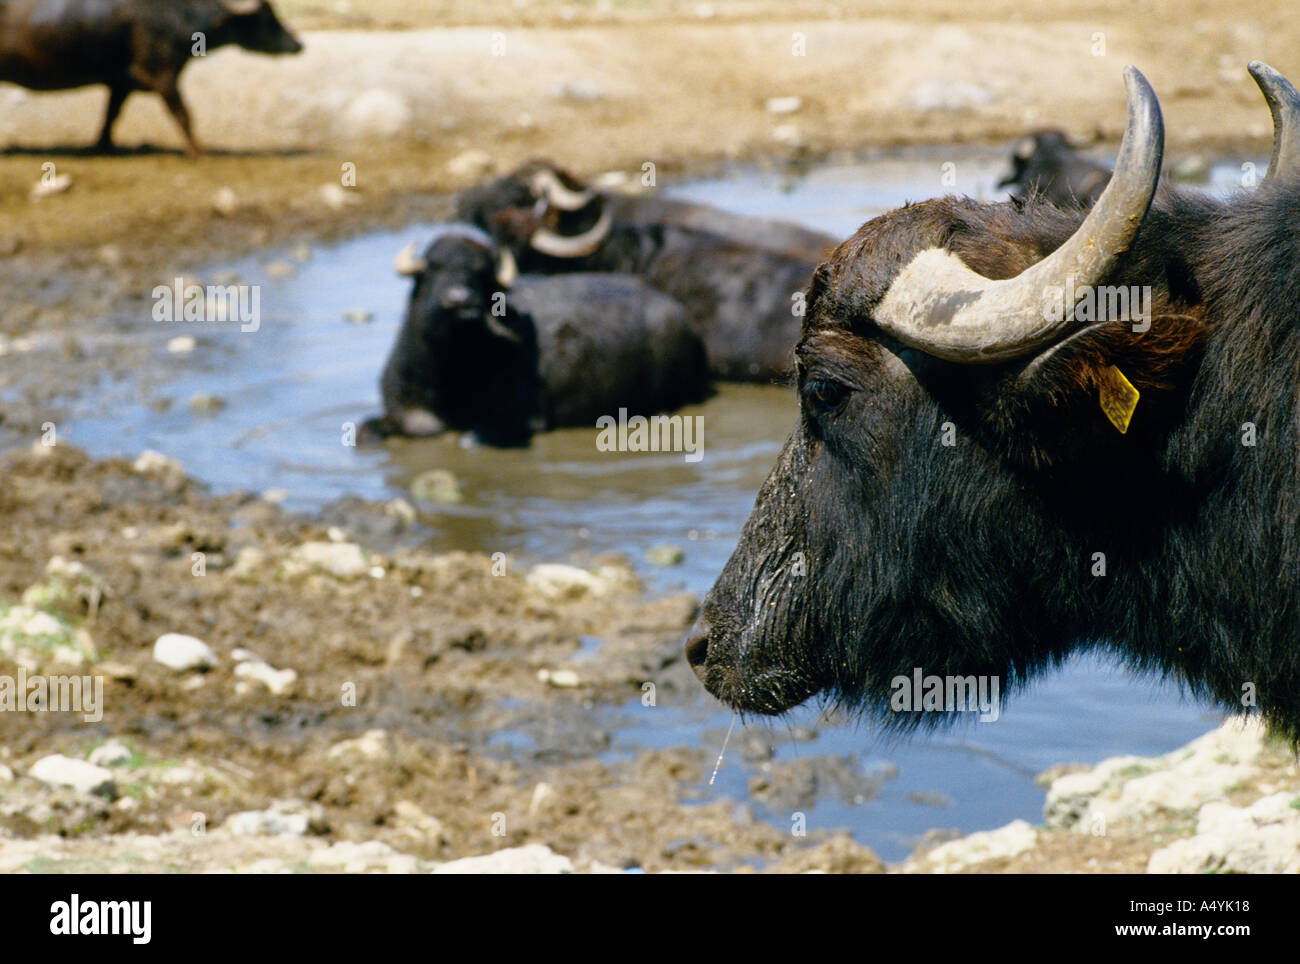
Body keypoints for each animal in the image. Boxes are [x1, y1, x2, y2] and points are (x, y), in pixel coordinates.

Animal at [0, 0, 302, 155]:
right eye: (268, 18)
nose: (298, 44)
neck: (180, 15)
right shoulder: (162, 75)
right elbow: (184, 115)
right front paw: (200, 152)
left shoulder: (122, 83)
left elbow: (111, 116)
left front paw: (102, 146)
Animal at [363, 229, 710, 445]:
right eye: (433, 268)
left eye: (480, 273)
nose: (461, 301)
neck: (449, 372)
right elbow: (369, 429)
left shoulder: (522, 419)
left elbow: (476, 434)